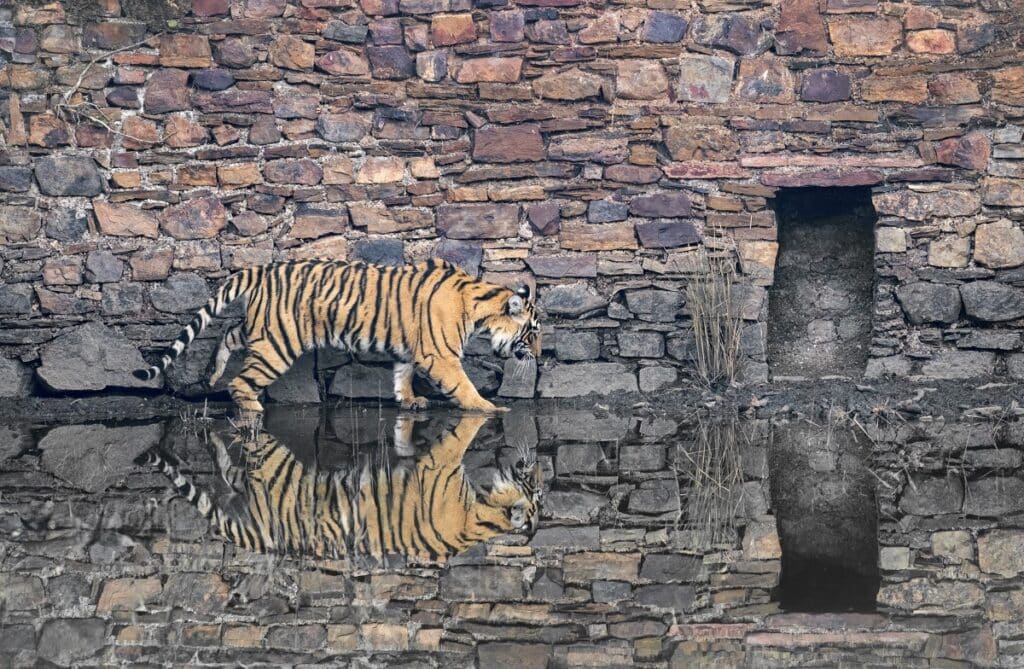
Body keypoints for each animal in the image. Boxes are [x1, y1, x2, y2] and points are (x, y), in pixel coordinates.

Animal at [133, 259, 541, 414]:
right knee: (242, 381)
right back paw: (251, 407)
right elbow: (463, 385)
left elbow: (402, 374)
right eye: (533, 333)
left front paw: (410, 401)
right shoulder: (439, 355)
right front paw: (489, 408)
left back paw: (213, 373)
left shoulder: (409, 348)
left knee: (230, 334)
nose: (540, 355)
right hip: (278, 343)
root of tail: (261, 269)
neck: (478, 304)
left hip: (259, 328)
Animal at [137, 414, 543, 562]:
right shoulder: (441, 461)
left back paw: (217, 433)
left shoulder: (441, 462)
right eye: (537, 489)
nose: (538, 465)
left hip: (275, 473)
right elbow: (463, 432)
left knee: (236, 464)